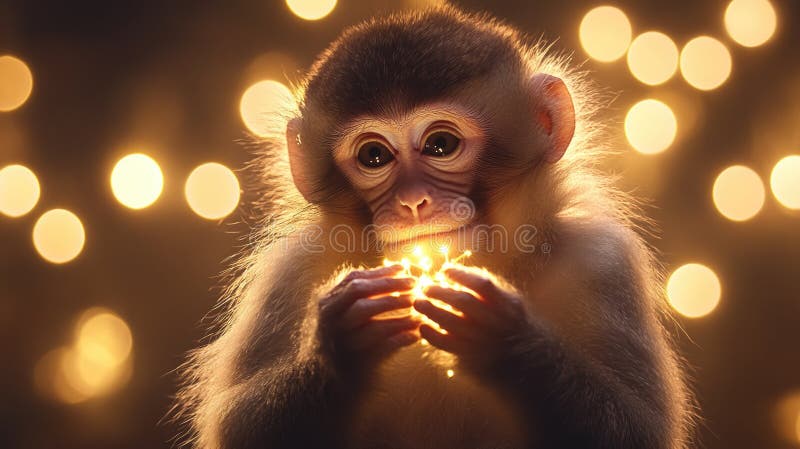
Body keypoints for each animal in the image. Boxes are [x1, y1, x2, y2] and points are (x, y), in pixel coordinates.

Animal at [174, 6, 693, 449]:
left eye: (441, 144)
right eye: (374, 156)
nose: (412, 202)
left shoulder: (603, 260)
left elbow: (640, 428)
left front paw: (508, 342)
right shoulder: (291, 268)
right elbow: (237, 426)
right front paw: (338, 347)